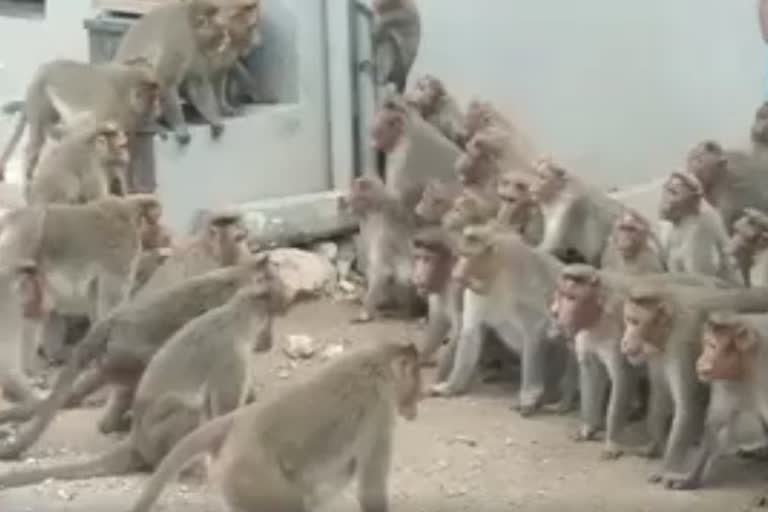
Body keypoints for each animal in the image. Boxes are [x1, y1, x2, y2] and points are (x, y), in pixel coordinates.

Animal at [0, 281, 282, 489]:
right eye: (268, 323)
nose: (269, 340)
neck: (234, 315)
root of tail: (137, 440)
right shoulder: (232, 354)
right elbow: (225, 407)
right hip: (156, 437)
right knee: (187, 409)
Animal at [114, 0, 231, 146]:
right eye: (219, 32)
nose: (225, 37)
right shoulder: (180, 40)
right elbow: (166, 80)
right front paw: (180, 126)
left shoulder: (195, 50)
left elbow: (196, 83)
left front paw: (214, 118)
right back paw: (147, 125)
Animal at [126, 341, 421, 512]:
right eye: (416, 381)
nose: (415, 408)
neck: (378, 364)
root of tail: (238, 420)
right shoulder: (380, 412)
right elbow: (371, 489)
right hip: (252, 477)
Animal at [343, 176, 418, 323]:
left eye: (352, 194)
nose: (345, 202)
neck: (374, 209)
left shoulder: (383, 230)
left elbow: (382, 270)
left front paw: (365, 312)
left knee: (402, 277)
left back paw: (402, 312)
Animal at [619, 282, 768, 486]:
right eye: (627, 320)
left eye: (634, 322)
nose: (624, 341)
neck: (670, 327)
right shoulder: (658, 354)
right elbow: (660, 395)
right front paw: (655, 447)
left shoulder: (683, 344)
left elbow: (688, 408)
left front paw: (667, 468)